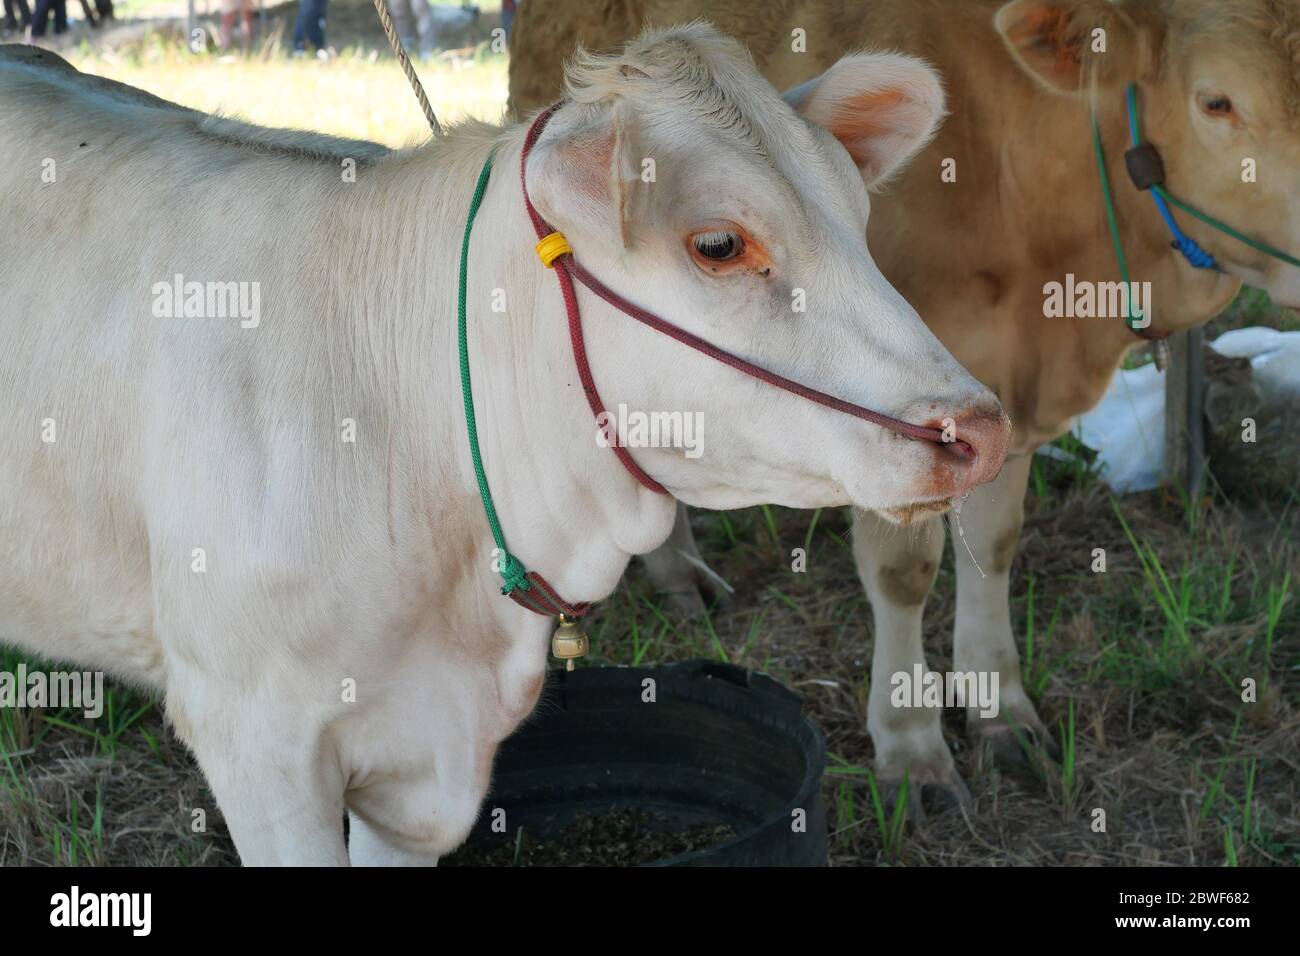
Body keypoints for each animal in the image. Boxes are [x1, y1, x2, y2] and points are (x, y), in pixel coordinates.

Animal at [508, 0, 1300, 810]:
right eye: (1217, 101)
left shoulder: (993, 401)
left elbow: (994, 545)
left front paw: (1000, 710)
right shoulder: (886, 422)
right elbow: (904, 571)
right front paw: (911, 746)